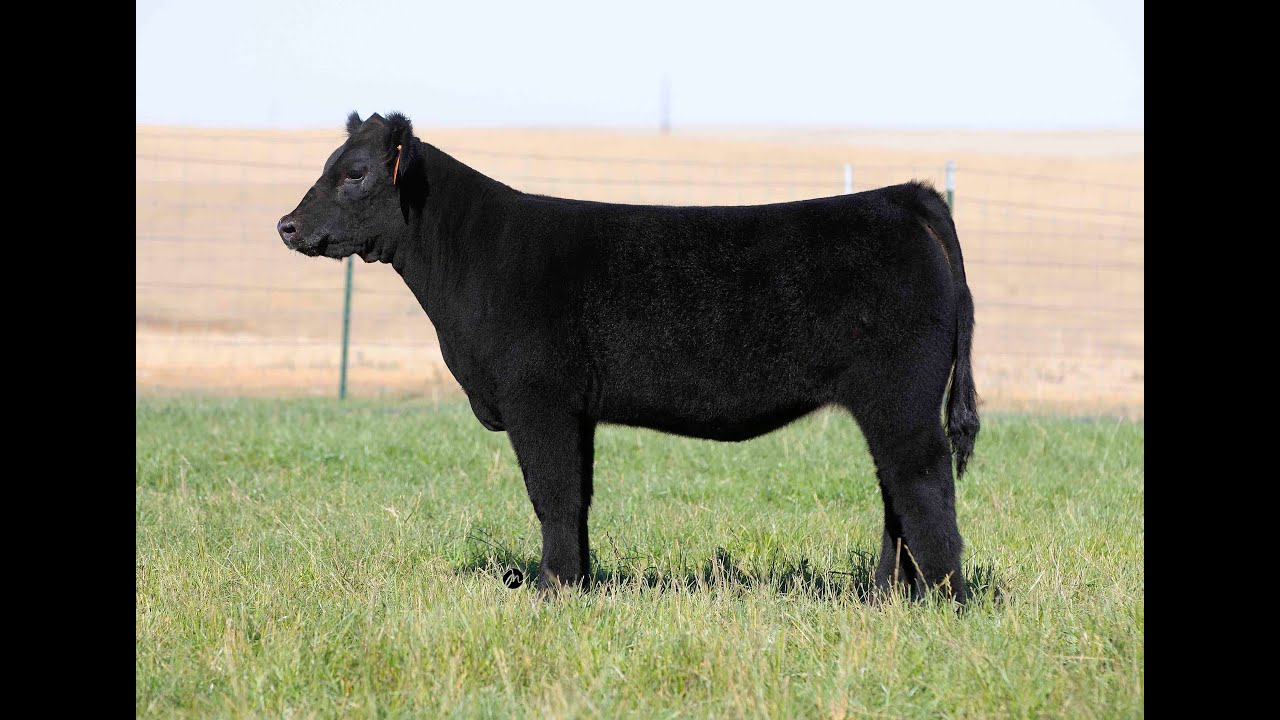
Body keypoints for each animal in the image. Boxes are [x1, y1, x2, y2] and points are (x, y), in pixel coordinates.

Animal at [278, 112, 980, 602]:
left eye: (354, 173)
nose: (287, 225)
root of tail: (903, 196)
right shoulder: (575, 410)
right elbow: (578, 496)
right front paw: (580, 583)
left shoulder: (538, 399)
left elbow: (553, 493)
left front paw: (552, 590)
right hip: (888, 405)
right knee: (895, 492)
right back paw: (887, 595)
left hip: (901, 399)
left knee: (923, 482)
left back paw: (943, 598)